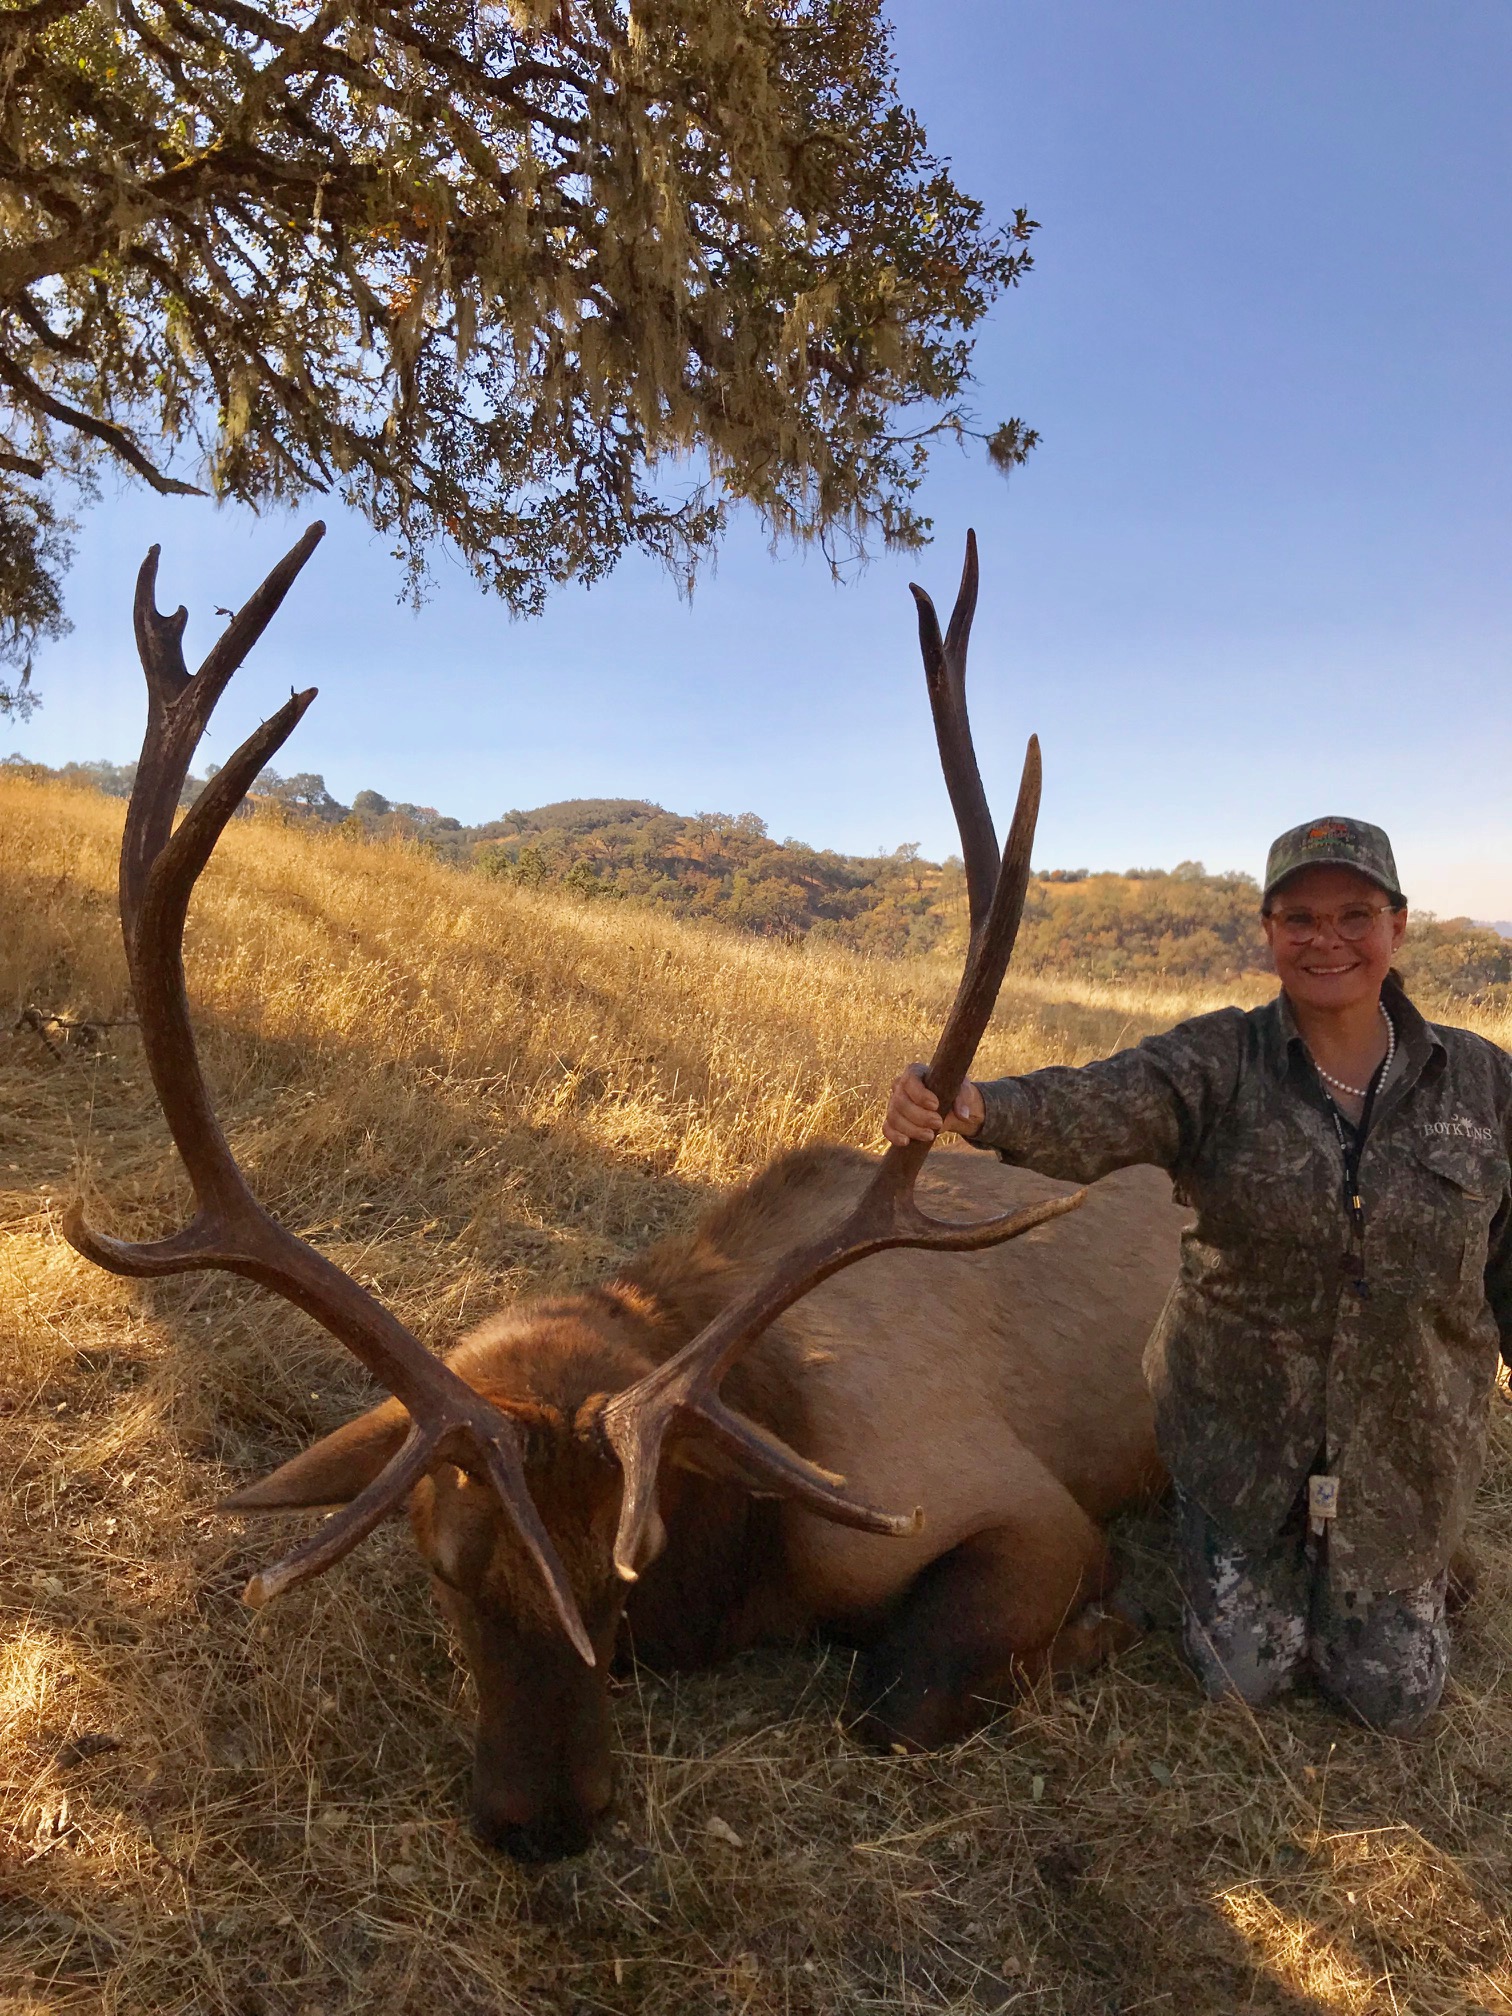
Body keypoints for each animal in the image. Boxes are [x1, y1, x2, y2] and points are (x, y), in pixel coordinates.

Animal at [65, 525, 1188, 1862]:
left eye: (623, 1570)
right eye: (440, 1564)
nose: (539, 1823)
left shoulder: (1014, 1500)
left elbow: (899, 1694)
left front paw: (1115, 1620)